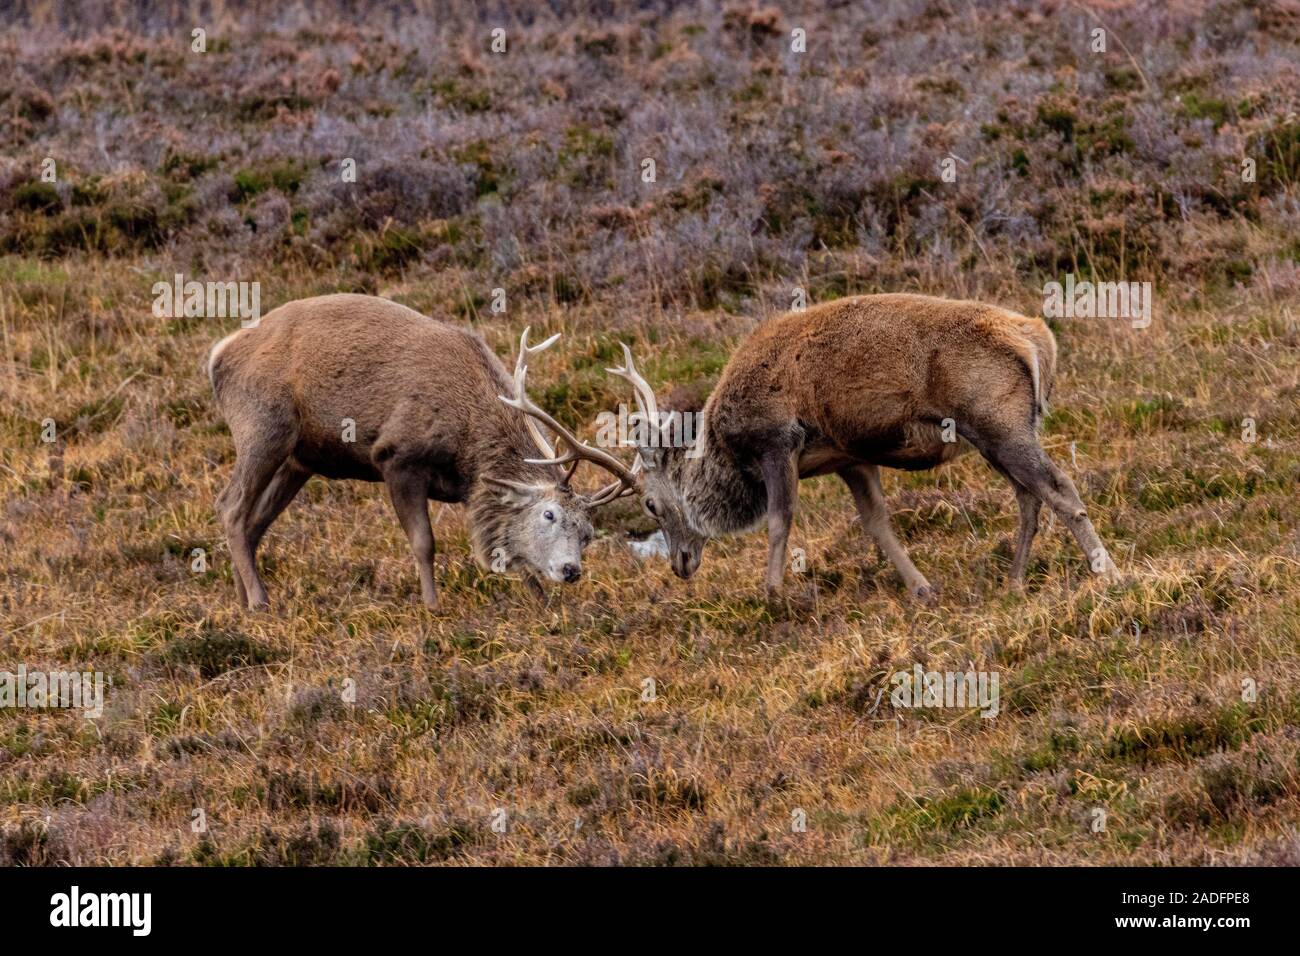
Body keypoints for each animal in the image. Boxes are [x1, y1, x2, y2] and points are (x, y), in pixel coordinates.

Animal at [207, 293, 637, 610]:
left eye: (588, 533)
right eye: (549, 514)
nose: (570, 570)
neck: (469, 453)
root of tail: (216, 356)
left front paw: (540, 601)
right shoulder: (397, 456)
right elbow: (424, 542)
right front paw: (433, 607)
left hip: (300, 459)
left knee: (254, 522)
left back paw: (243, 599)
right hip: (262, 424)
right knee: (231, 506)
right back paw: (259, 601)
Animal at [604, 293, 1118, 599]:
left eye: (650, 504)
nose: (680, 564)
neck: (729, 454)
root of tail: (1038, 339)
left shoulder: (778, 441)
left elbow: (779, 521)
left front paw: (772, 595)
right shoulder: (849, 458)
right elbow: (876, 523)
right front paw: (921, 589)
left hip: (996, 420)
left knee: (1059, 486)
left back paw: (1107, 571)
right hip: (1004, 431)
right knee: (1029, 497)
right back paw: (1013, 580)